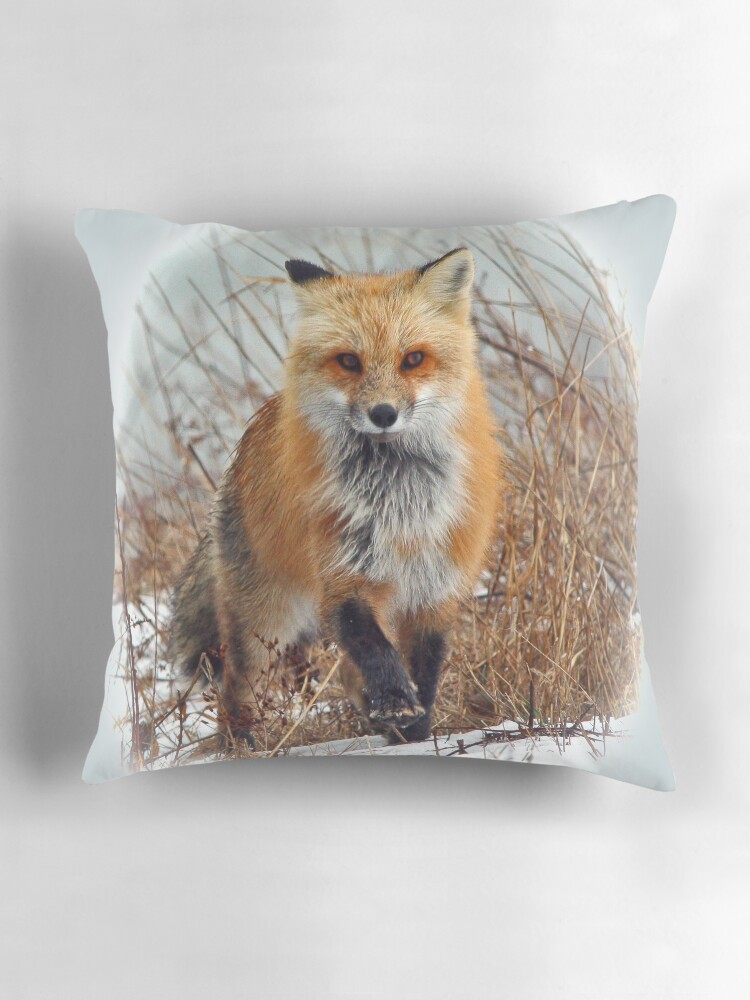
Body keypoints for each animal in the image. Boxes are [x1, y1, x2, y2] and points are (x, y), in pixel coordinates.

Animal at [167, 246, 504, 746]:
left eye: (413, 359)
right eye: (349, 361)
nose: (383, 414)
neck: (398, 502)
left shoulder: (436, 588)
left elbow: (424, 671)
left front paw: (415, 731)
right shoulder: (344, 576)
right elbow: (374, 649)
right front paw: (396, 704)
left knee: (345, 674)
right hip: (266, 619)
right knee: (236, 688)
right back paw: (242, 744)